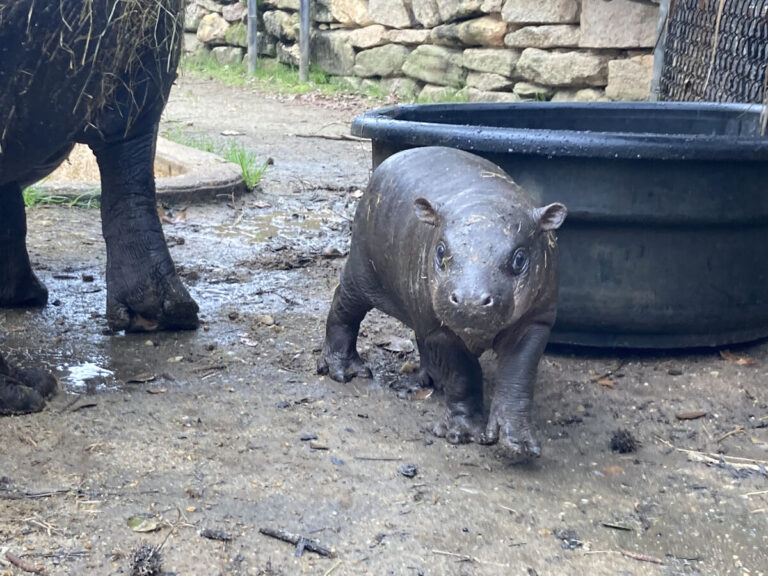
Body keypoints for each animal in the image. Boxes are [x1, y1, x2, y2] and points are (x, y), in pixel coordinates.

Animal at [318, 147, 567, 461]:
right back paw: (346, 371)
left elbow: (518, 375)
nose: (471, 300)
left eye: (520, 258)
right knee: (344, 308)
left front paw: (518, 443)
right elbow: (463, 373)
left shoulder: (537, 321)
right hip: (362, 270)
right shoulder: (440, 327)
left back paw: (428, 382)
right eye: (440, 250)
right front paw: (462, 434)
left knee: (419, 337)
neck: (485, 200)